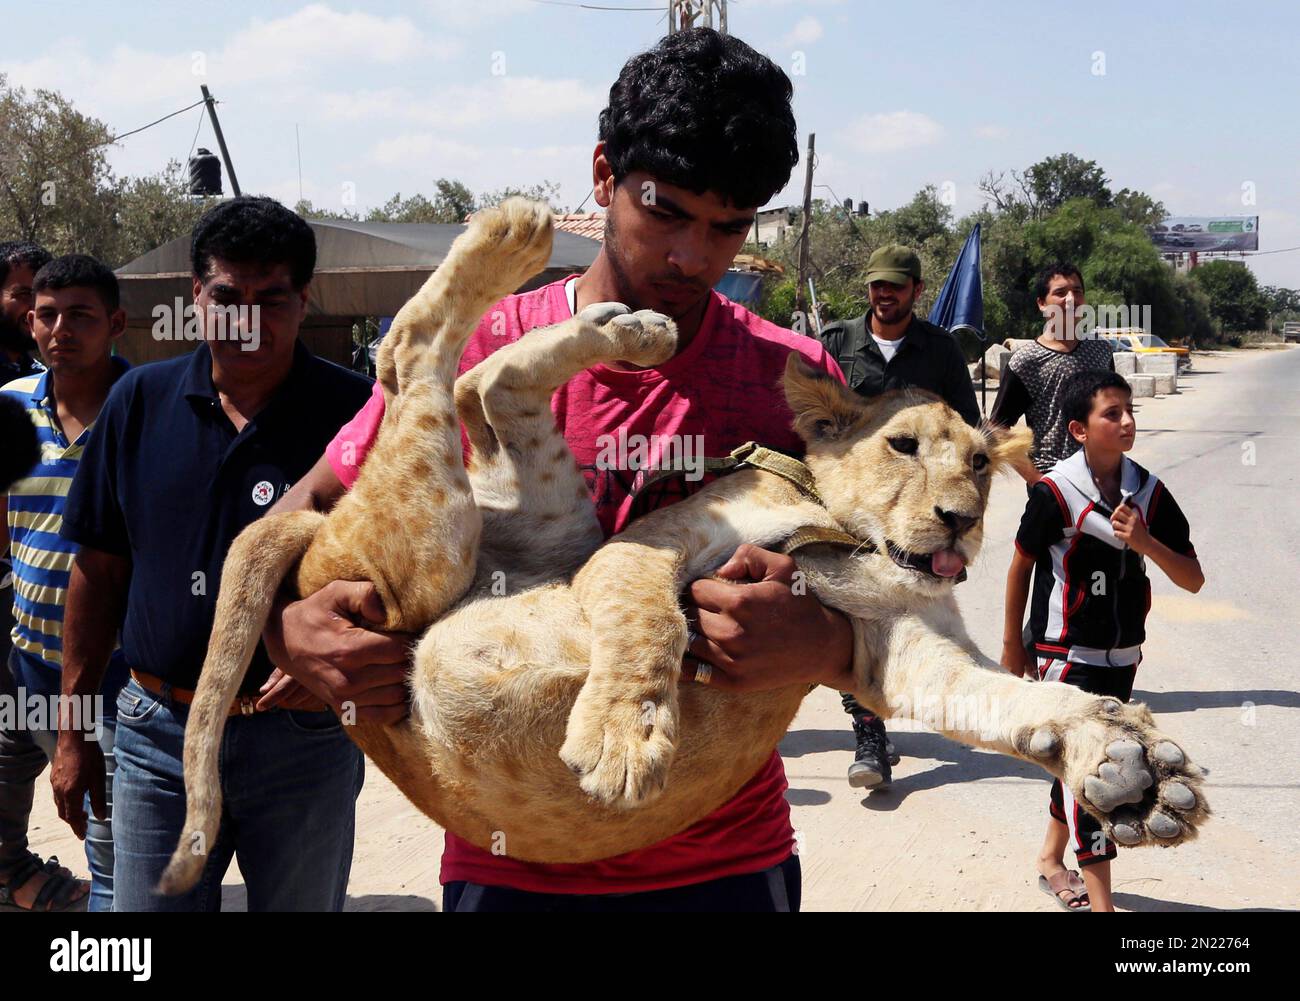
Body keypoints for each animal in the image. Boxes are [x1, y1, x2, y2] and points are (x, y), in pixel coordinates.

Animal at [160, 199, 1207, 893]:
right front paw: (624, 739)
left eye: (983, 464)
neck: (852, 545)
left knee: (484, 384)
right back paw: (521, 237)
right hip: (423, 550)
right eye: (905, 447)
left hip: (534, 514)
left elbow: (1014, 702)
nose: (959, 519)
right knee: (411, 349)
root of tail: (319, 533)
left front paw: (1127, 765)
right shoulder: (646, 550)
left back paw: (620, 322)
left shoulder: (895, 654)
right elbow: (650, 624)